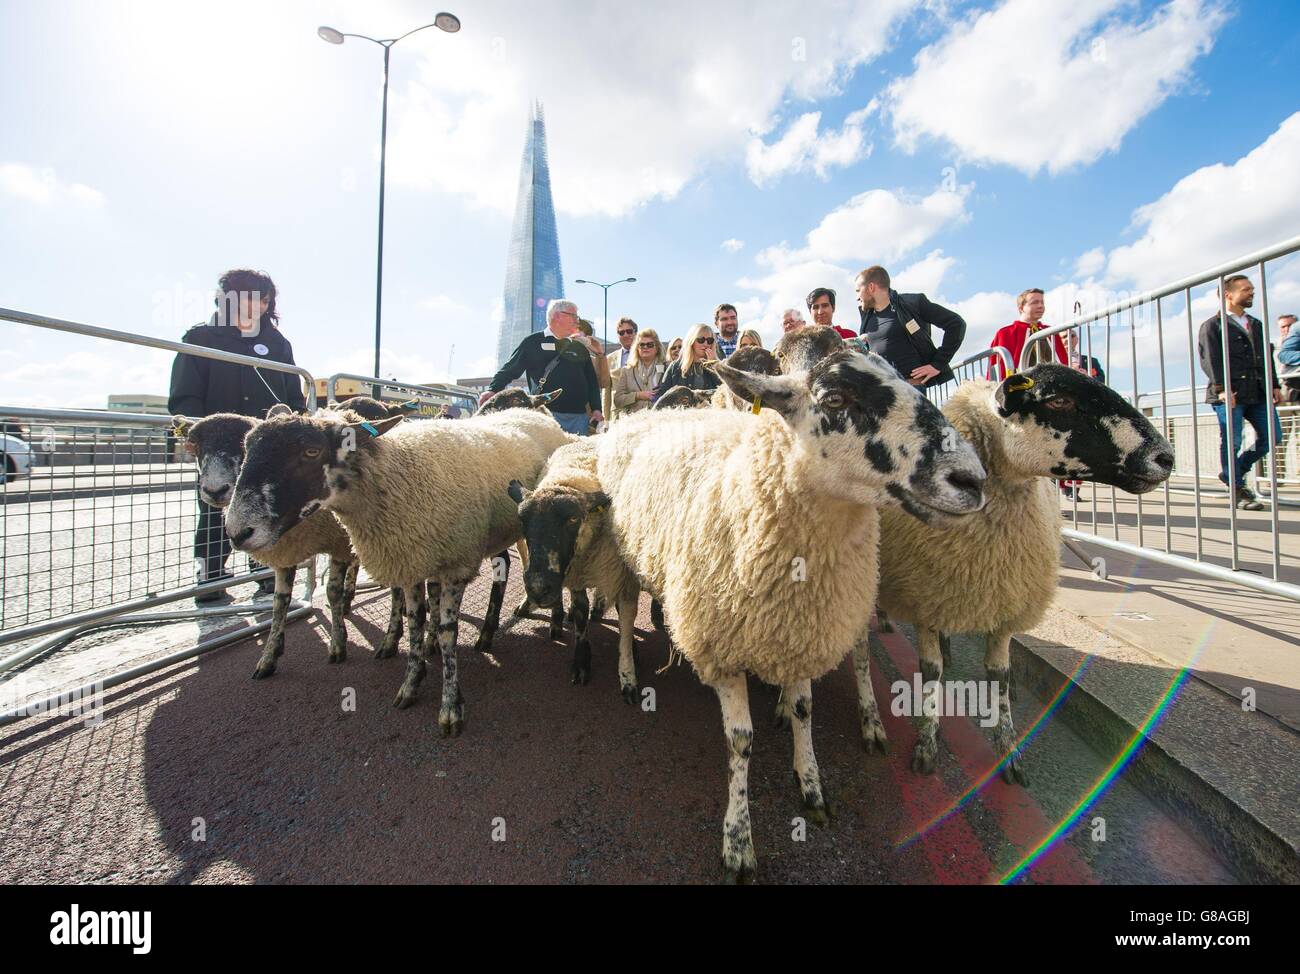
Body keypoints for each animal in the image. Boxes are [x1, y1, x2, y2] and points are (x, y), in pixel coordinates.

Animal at [174, 398, 409, 679]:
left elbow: (331, 591)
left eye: (311, 451)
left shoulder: (340, 544)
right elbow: (279, 602)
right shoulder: (286, 550)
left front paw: (338, 644)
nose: (214, 491)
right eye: (194, 443)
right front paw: (269, 657)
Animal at [224, 406, 573, 736]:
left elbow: (447, 632)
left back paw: (541, 622)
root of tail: (531, 412)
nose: (237, 532)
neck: (396, 478)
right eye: (247, 448)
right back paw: (488, 633)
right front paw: (412, 680)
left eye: (311, 451)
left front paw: (450, 706)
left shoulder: (456, 563)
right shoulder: (410, 560)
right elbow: (416, 620)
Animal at [507, 439, 641, 697]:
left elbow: (626, 623)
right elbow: (580, 616)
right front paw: (580, 662)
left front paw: (628, 673)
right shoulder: (575, 578)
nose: (538, 588)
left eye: (573, 519)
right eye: (522, 520)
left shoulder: (622, 577)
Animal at [596, 350, 988, 881]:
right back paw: (628, 674)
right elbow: (740, 741)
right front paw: (738, 840)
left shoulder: (803, 632)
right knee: (625, 610)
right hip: (623, 554)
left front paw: (811, 786)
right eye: (836, 399)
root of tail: (652, 413)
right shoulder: (723, 647)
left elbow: (805, 711)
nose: (971, 480)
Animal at [860, 365, 1174, 783]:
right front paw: (928, 740)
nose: (1165, 456)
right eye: (1060, 400)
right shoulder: (926, 594)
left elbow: (1000, 674)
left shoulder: (1007, 598)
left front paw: (1008, 748)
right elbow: (931, 671)